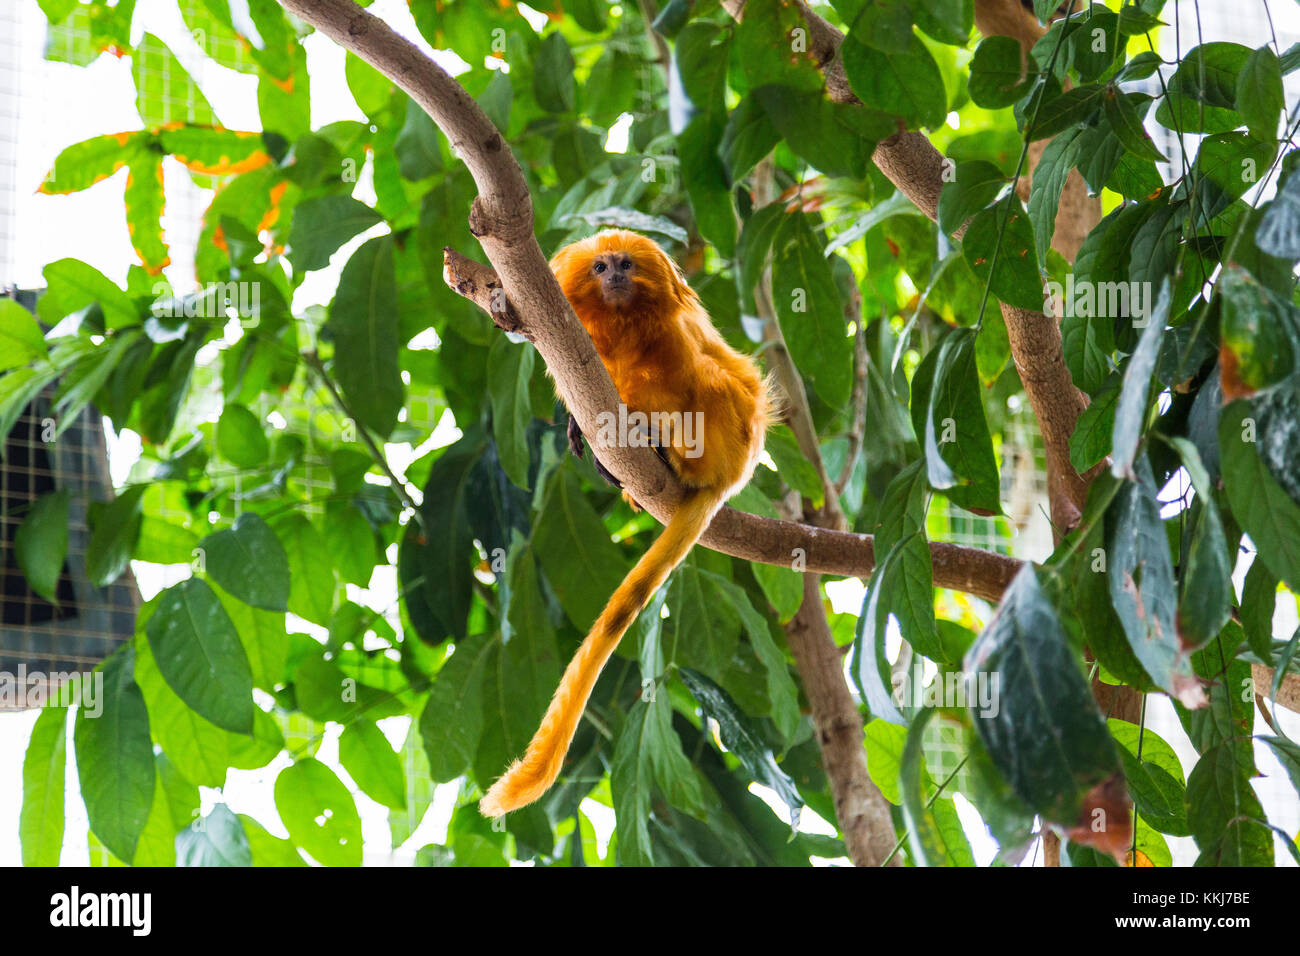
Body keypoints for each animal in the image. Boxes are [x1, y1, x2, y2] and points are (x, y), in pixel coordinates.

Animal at [479, 230, 773, 818]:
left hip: (734, 433)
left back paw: (672, 454)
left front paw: (644, 425)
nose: (615, 276)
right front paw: (579, 430)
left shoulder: (677, 339)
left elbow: (690, 372)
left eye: (626, 265)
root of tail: (734, 476)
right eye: (600, 268)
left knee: (706, 380)